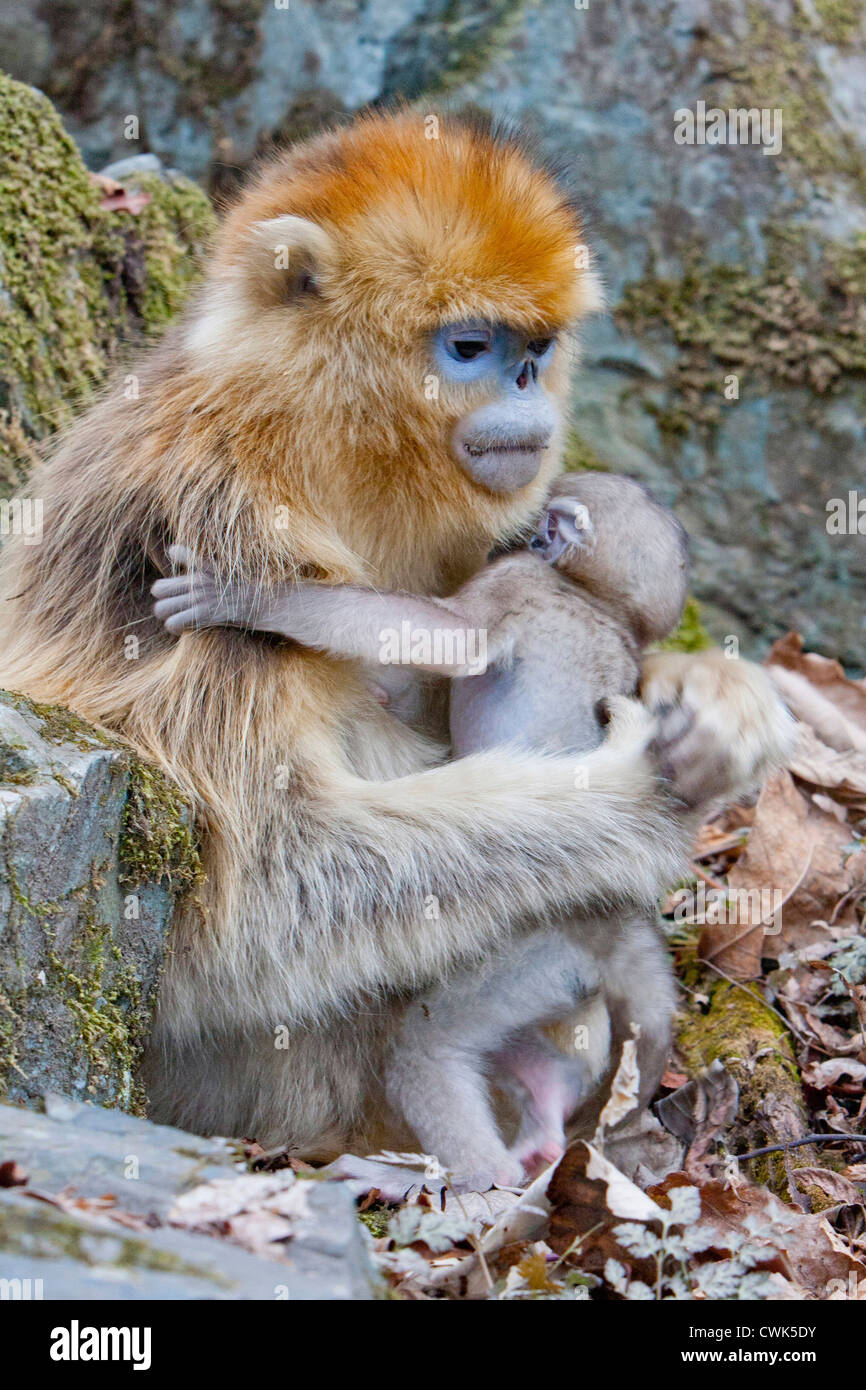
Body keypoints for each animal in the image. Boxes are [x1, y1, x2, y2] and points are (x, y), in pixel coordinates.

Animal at [151, 471, 689, 1187]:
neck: (601, 604)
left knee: (424, 1054)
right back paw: (547, 1111)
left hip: (532, 953)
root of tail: (622, 923)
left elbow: (452, 640)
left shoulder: (514, 585)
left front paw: (252, 599)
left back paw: (487, 1187)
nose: (501, 538)